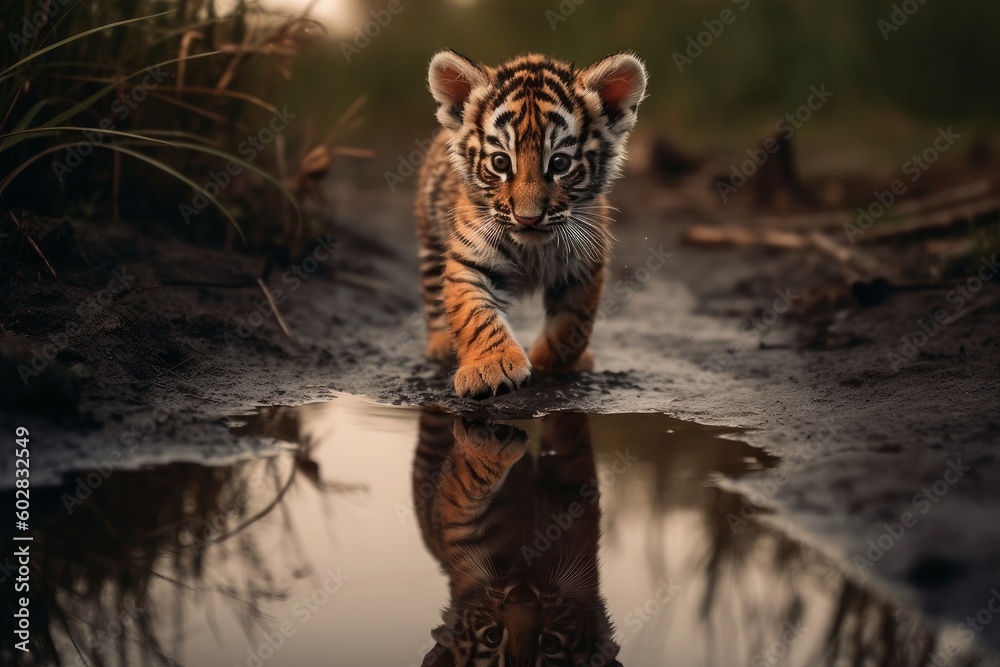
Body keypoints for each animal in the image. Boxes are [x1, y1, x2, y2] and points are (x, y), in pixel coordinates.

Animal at [412, 409, 621, 667]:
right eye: (492, 636)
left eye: (549, 643)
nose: (521, 597)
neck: (526, 567)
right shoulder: (464, 540)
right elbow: (468, 490)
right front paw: (489, 443)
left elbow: (568, 433)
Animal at [415, 51, 648, 398]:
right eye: (500, 162)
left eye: (560, 163)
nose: (528, 217)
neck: (533, 250)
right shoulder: (470, 260)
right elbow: (475, 314)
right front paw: (491, 368)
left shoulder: (584, 266)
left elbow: (573, 323)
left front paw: (552, 363)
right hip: (430, 240)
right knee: (433, 296)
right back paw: (442, 345)